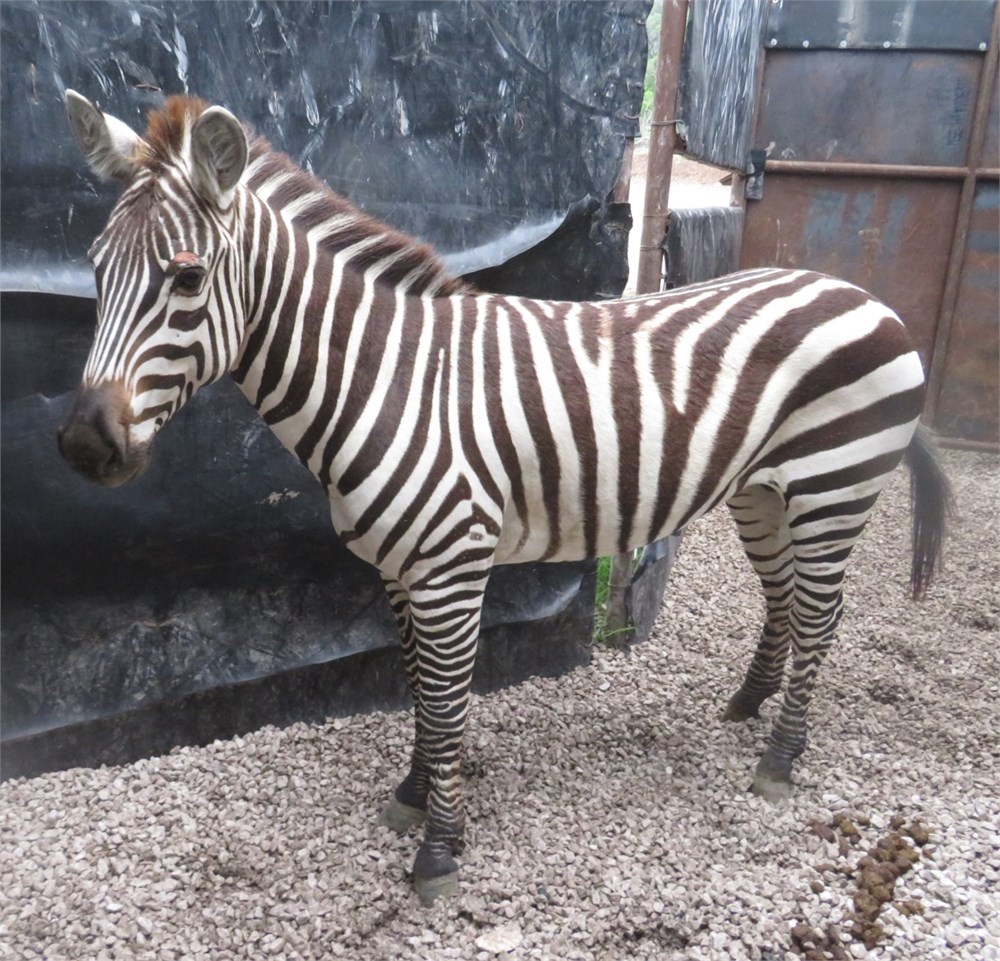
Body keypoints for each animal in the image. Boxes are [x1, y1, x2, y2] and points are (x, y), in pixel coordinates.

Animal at [58, 91, 949, 904]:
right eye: (95, 265)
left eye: (186, 277)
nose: (83, 447)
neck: (384, 383)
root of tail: (861, 294)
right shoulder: (397, 569)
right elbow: (418, 686)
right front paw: (414, 793)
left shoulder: (451, 566)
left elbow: (448, 700)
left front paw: (439, 852)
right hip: (761, 490)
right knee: (784, 598)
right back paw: (746, 704)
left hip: (833, 484)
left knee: (822, 614)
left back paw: (781, 757)